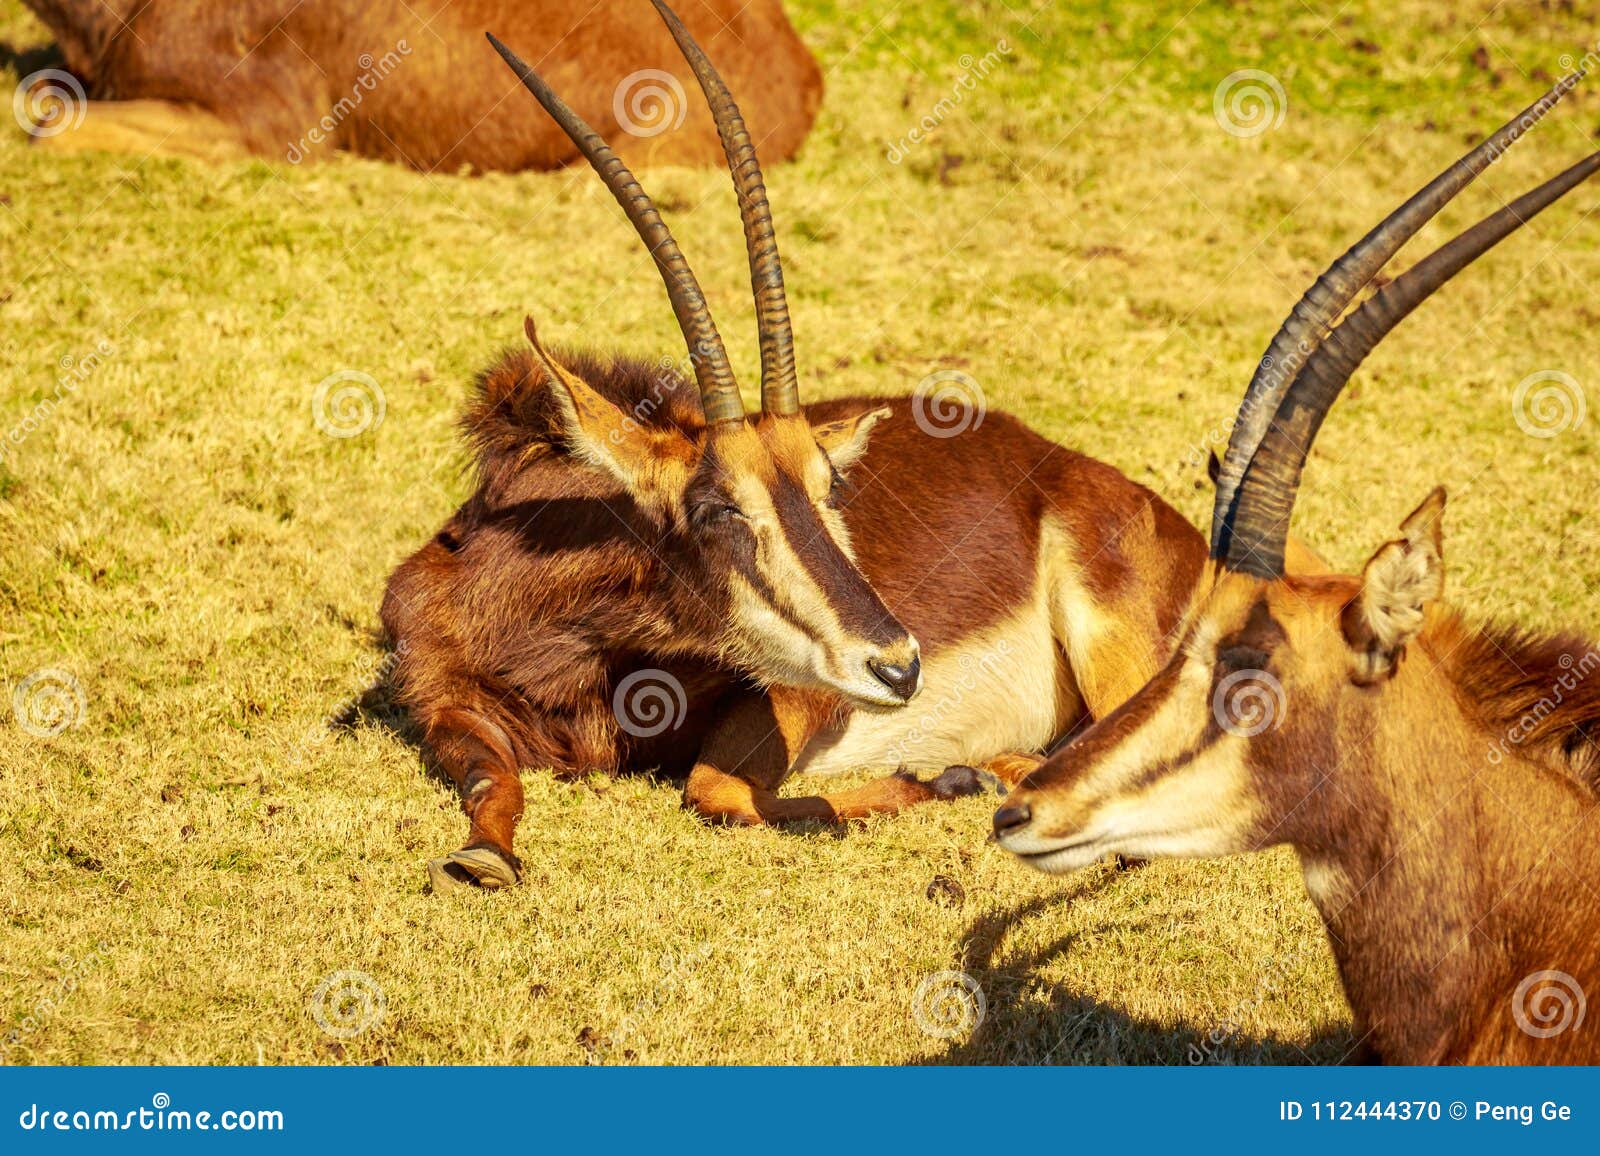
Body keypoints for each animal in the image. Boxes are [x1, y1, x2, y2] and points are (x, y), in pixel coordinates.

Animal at [381, 0, 1212, 893]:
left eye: (829, 491)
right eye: (717, 509)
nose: (901, 666)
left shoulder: (798, 693)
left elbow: (713, 790)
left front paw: (947, 778)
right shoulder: (439, 696)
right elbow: (487, 774)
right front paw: (482, 854)